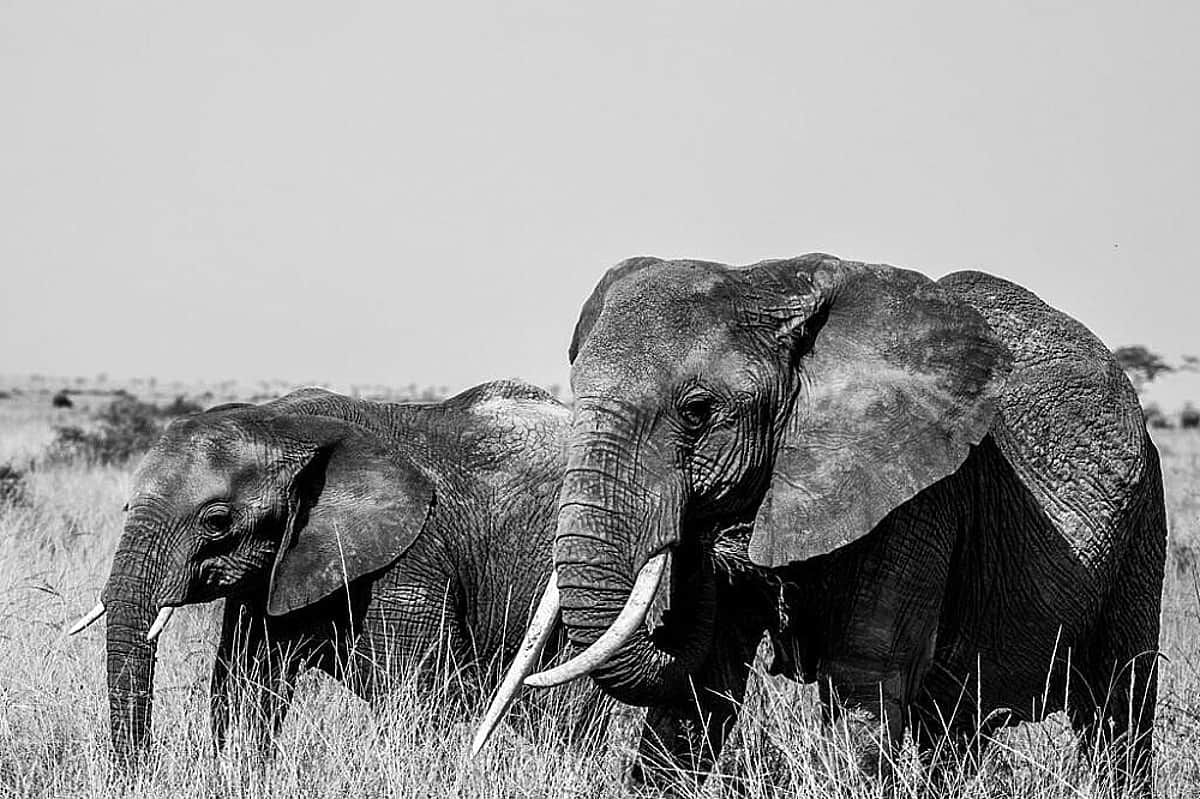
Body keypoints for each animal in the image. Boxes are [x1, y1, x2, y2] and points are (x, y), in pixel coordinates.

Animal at [69, 383, 585, 763]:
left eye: (216, 521)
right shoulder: (275, 570)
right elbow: (247, 684)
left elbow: (419, 693)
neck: (285, 424)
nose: (141, 770)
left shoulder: (412, 557)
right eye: (127, 507)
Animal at [475, 253, 1161, 791]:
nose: (693, 534)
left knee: (1119, 707)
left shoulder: (919, 491)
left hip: (1143, 525)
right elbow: (703, 683)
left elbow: (868, 677)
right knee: (956, 723)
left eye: (697, 412)